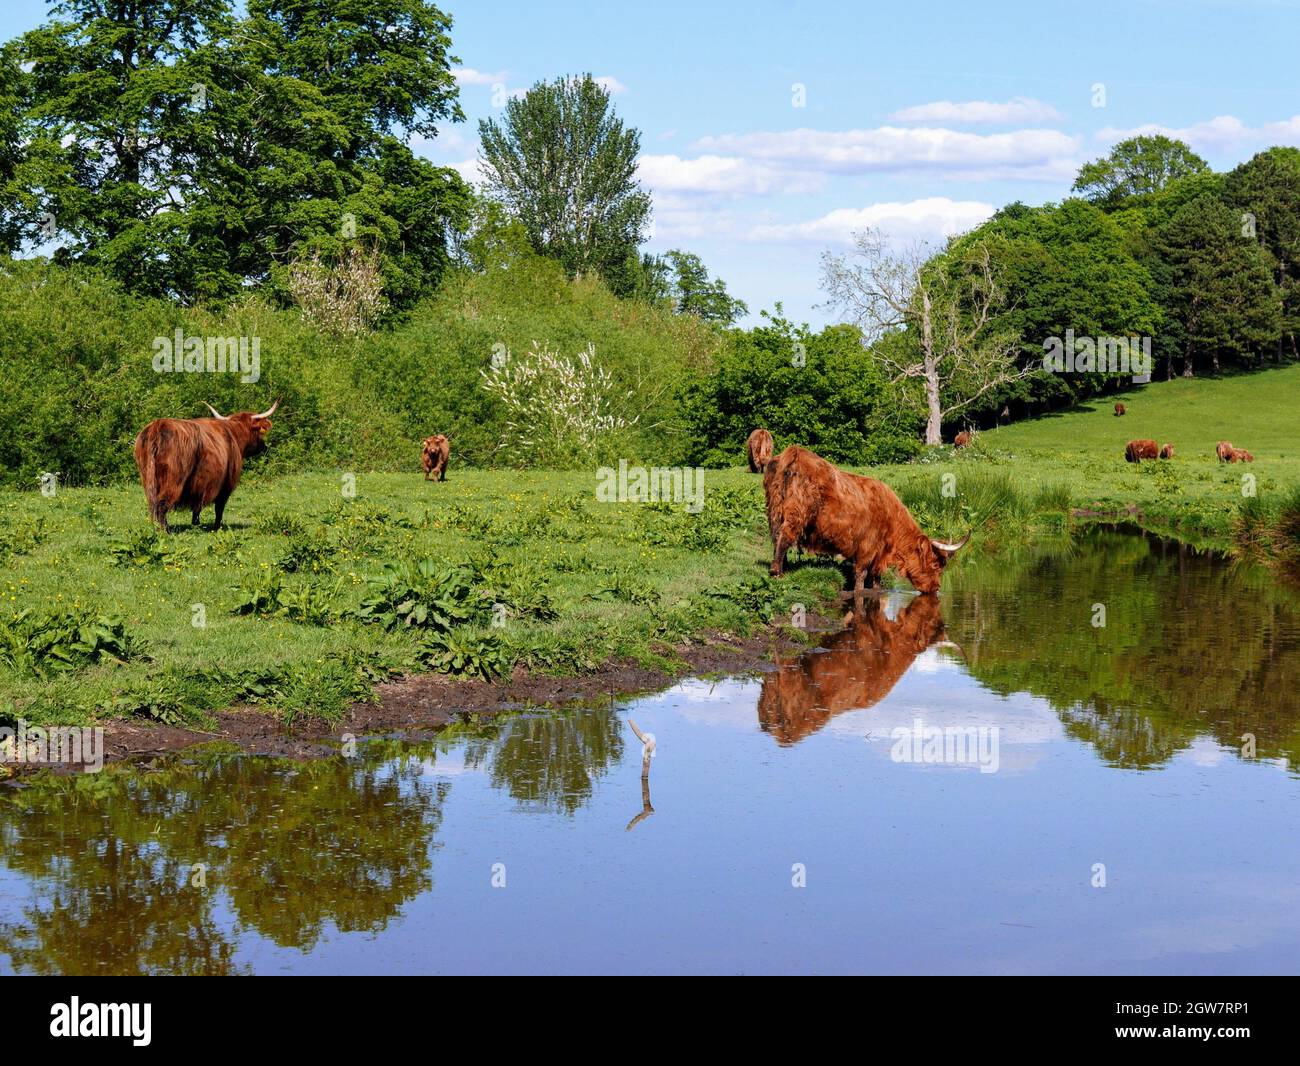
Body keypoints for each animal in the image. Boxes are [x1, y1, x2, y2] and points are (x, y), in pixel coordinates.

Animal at [133, 401, 278, 532]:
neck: (234, 435)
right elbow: (218, 508)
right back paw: (165, 530)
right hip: (173, 479)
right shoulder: (225, 485)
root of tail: (157, 426)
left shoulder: (200, 485)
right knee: (162, 504)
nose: (263, 447)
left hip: (147, 477)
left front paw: (196, 523)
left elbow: (197, 507)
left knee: (153, 504)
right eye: (259, 433)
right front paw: (216, 527)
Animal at [764, 445, 970, 596]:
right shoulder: (868, 546)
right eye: (935, 565)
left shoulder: (879, 552)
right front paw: (859, 591)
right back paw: (777, 573)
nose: (936, 588)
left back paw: (783, 567)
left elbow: (876, 575)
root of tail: (795, 452)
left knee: (776, 537)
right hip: (798, 511)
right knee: (785, 536)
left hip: (774, 509)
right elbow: (862, 573)